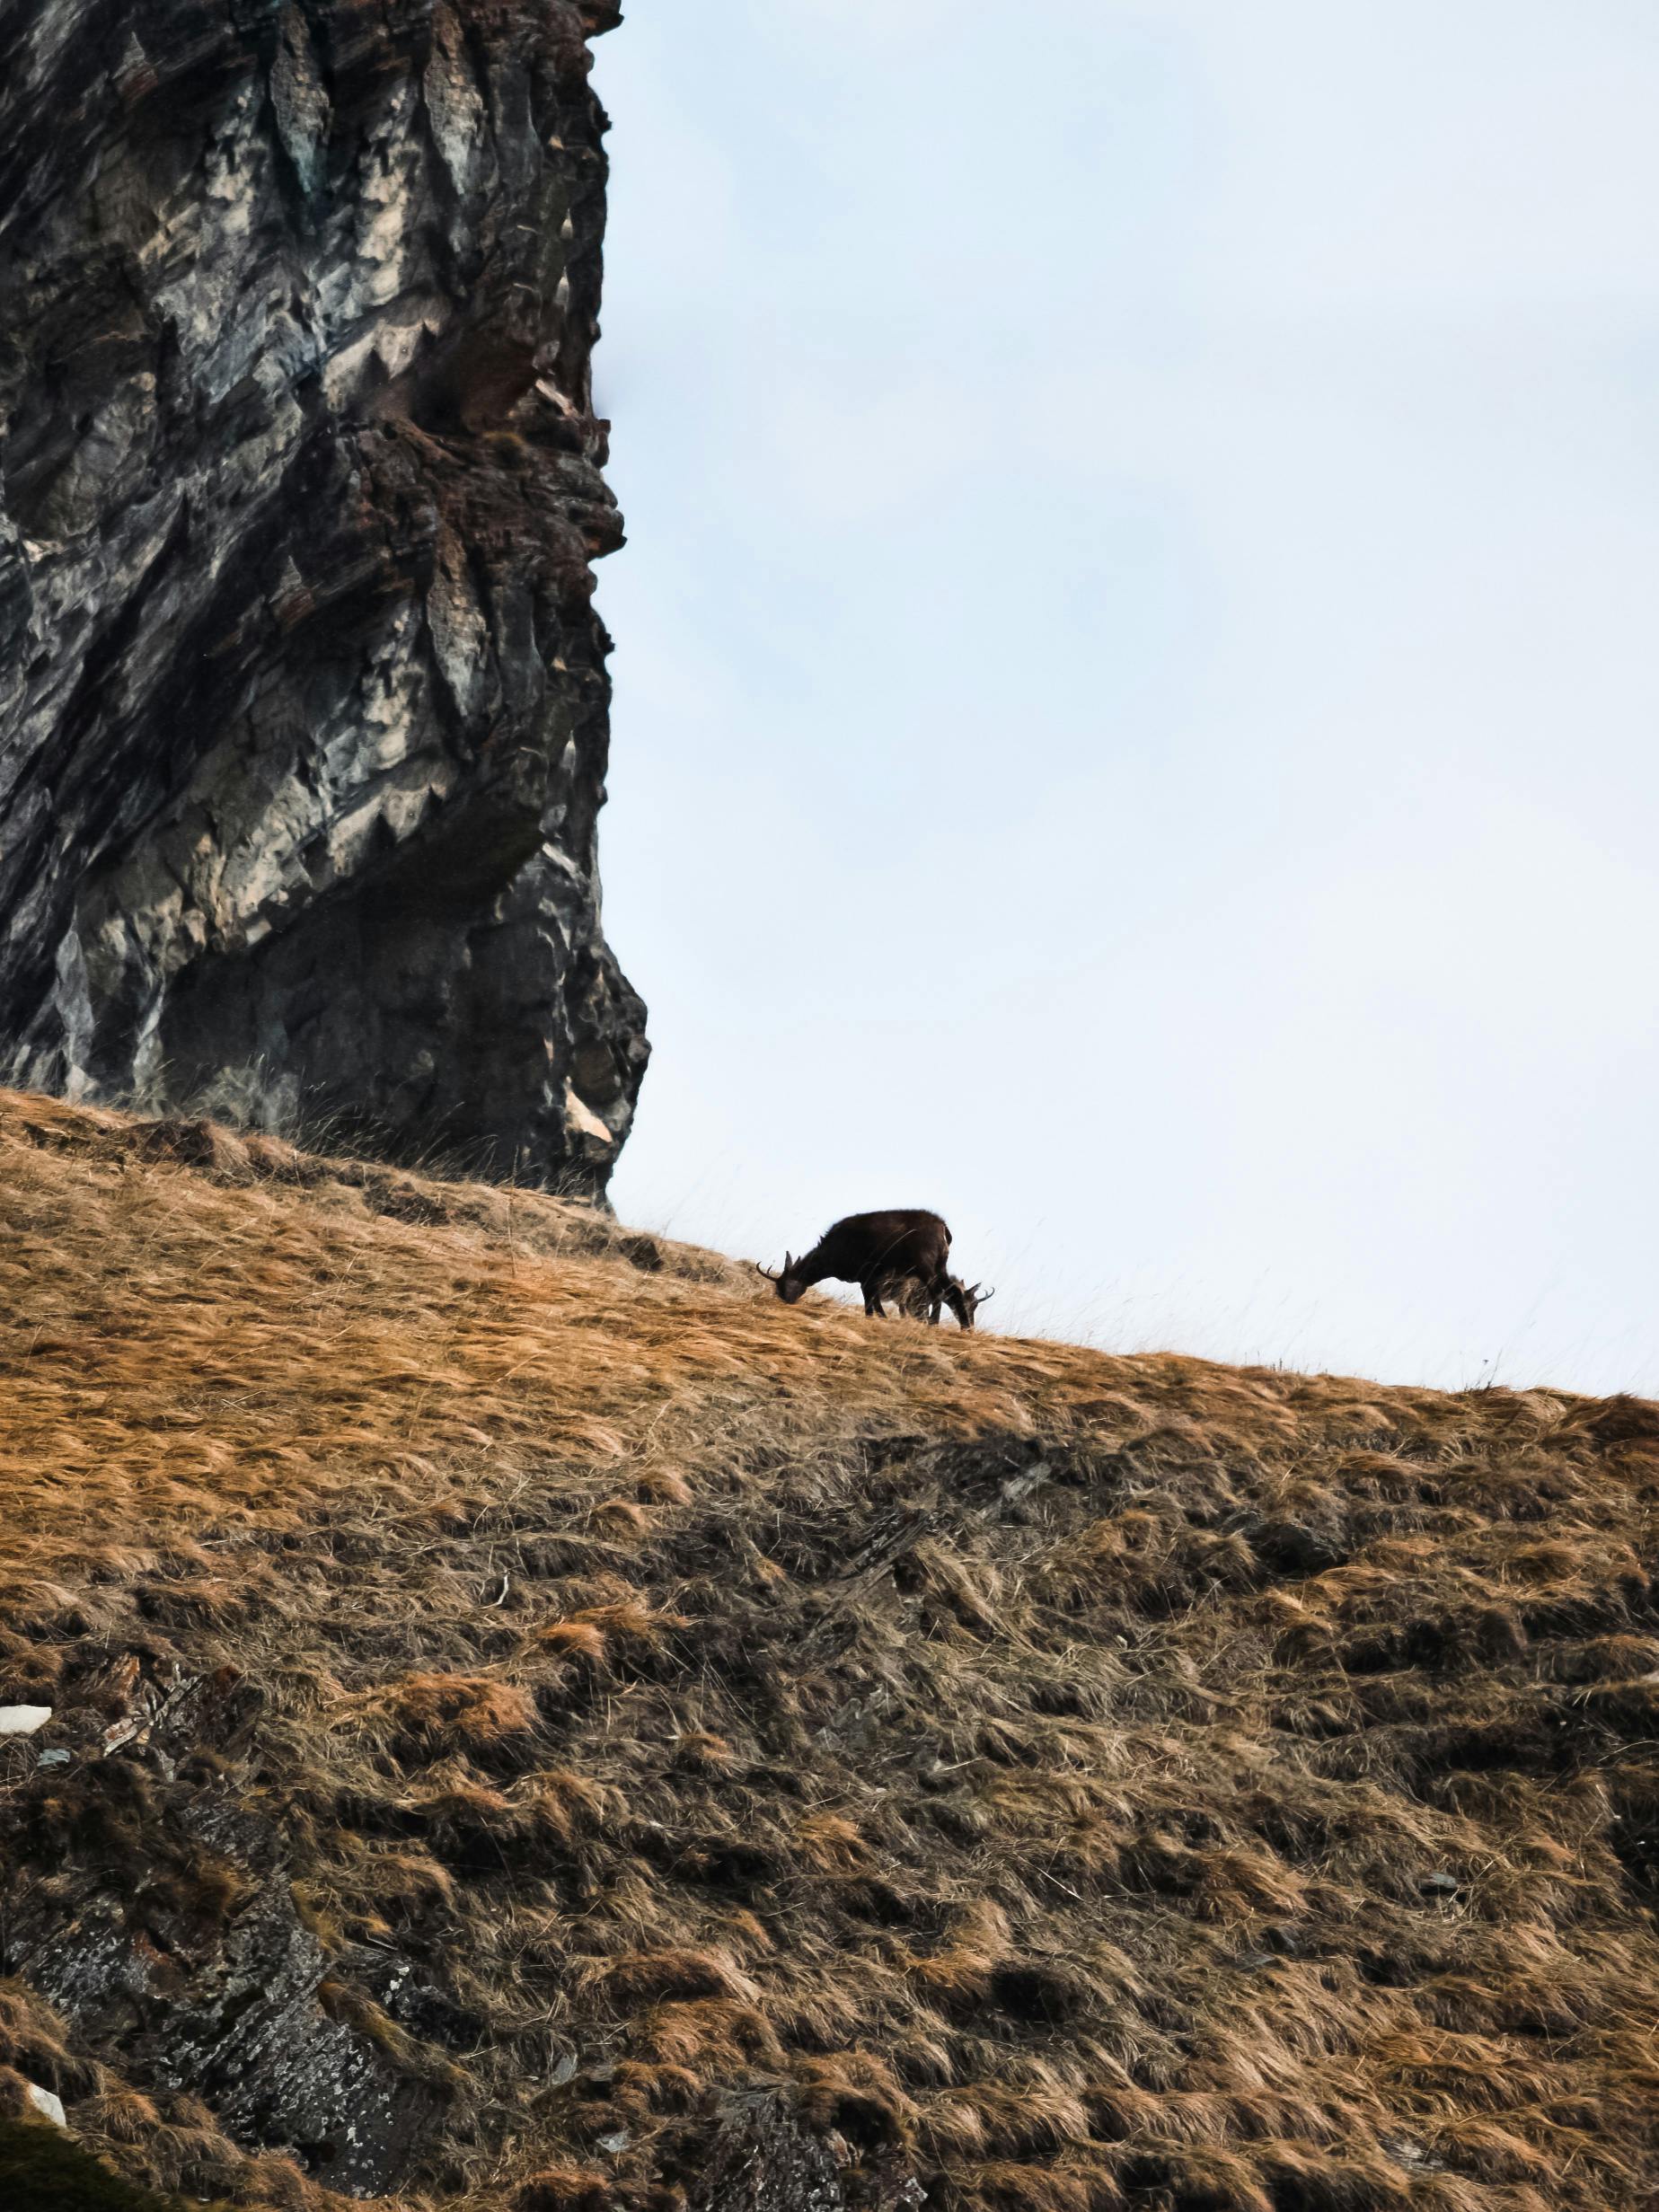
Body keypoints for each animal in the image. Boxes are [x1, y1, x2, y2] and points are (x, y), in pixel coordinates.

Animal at [758, 1210, 994, 1328]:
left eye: (783, 1287)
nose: (788, 1302)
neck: (831, 1250)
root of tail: (942, 1227)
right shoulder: (870, 1280)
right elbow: (871, 1304)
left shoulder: (868, 1276)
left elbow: (872, 1304)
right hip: (940, 1265)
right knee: (952, 1292)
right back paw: (965, 1327)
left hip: (925, 1265)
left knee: (937, 1292)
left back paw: (933, 1323)